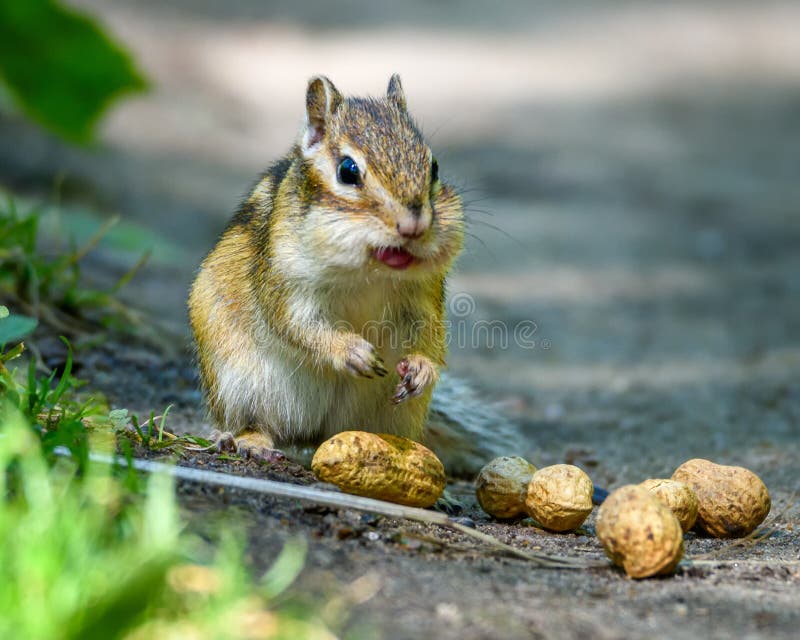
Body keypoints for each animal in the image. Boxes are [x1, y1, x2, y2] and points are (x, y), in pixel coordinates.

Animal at [188, 75, 520, 475]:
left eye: (435, 167)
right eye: (347, 171)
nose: (413, 226)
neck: (368, 271)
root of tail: (311, 435)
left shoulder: (422, 296)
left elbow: (427, 336)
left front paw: (422, 368)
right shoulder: (285, 280)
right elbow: (297, 324)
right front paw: (350, 351)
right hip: (240, 385)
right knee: (254, 423)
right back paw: (252, 442)